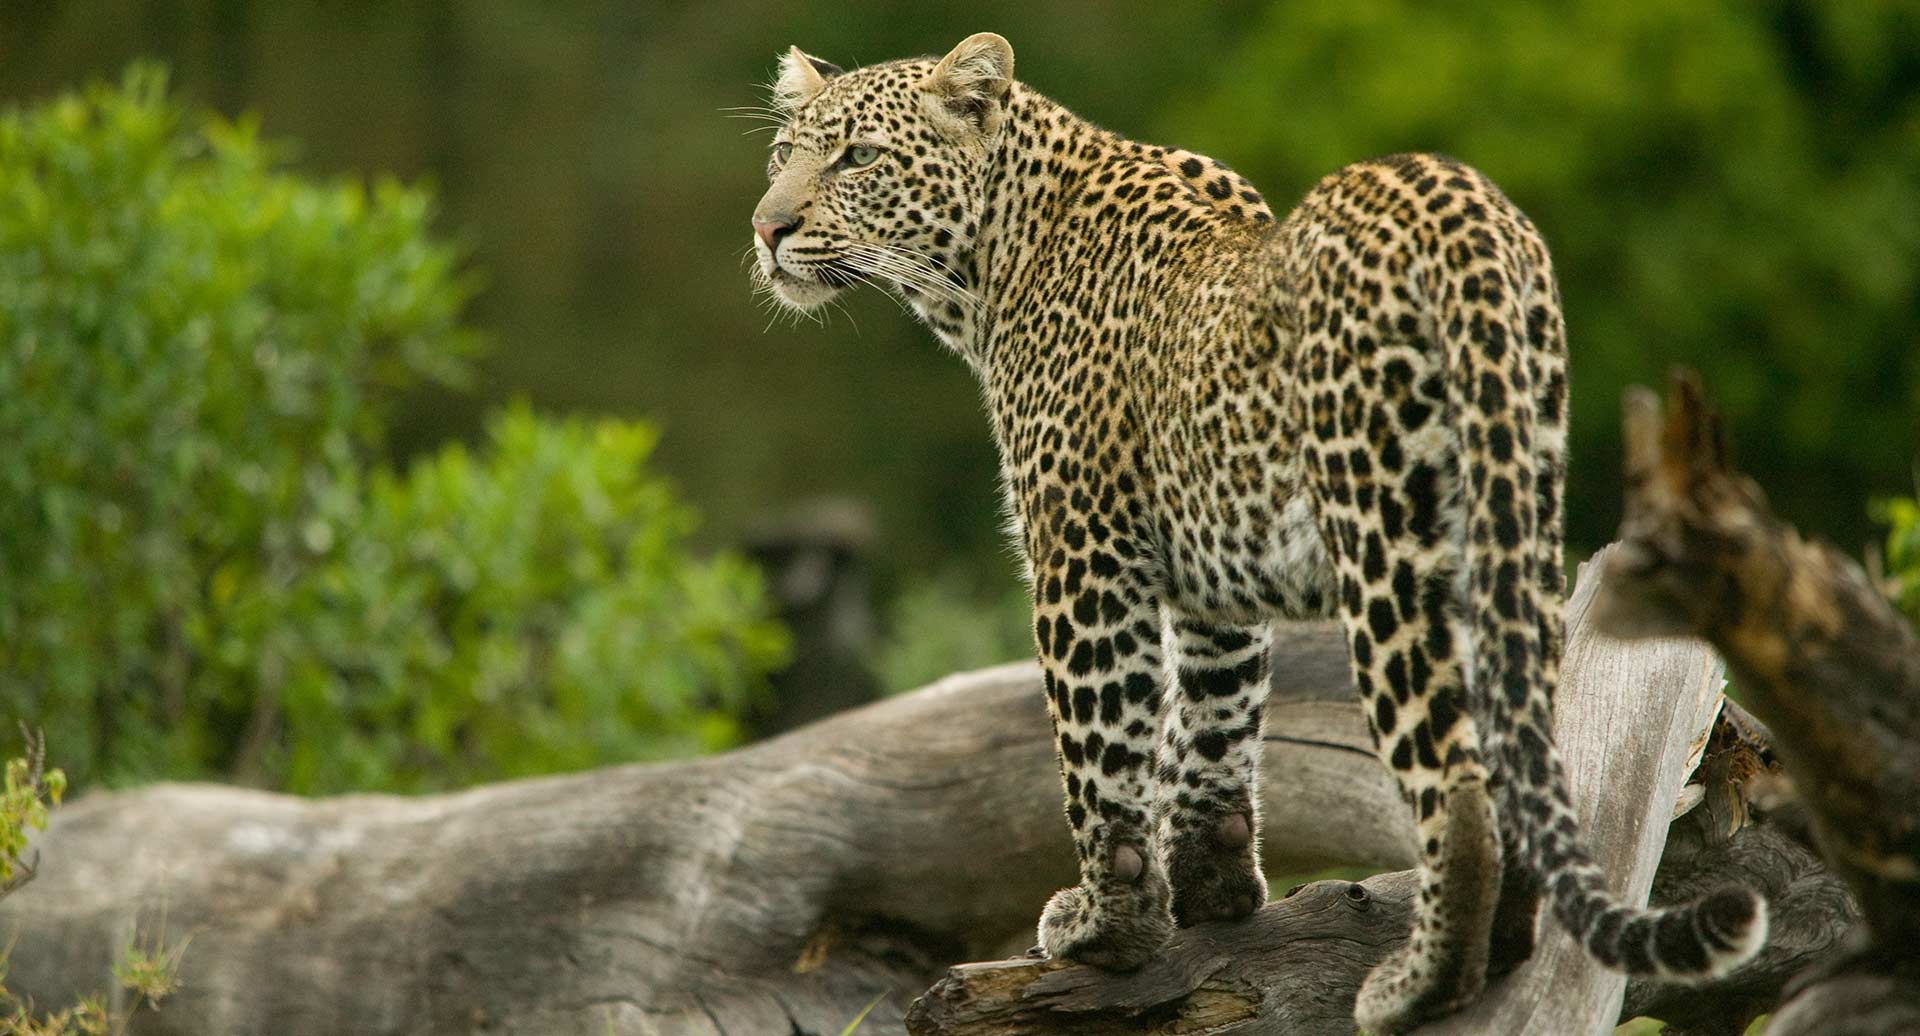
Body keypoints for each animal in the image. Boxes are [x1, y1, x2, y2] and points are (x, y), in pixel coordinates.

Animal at [746, 32, 1768, 1033]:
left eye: (858, 158)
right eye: (782, 152)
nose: (766, 229)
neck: (992, 265)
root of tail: (1459, 205)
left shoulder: (1081, 555)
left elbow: (1102, 747)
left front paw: (1108, 928)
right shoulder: (1211, 575)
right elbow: (1213, 723)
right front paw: (1215, 894)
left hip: (1386, 539)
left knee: (1455, 778)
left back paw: (1420, 984)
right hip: (1519, 500)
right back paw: (1512, 934)